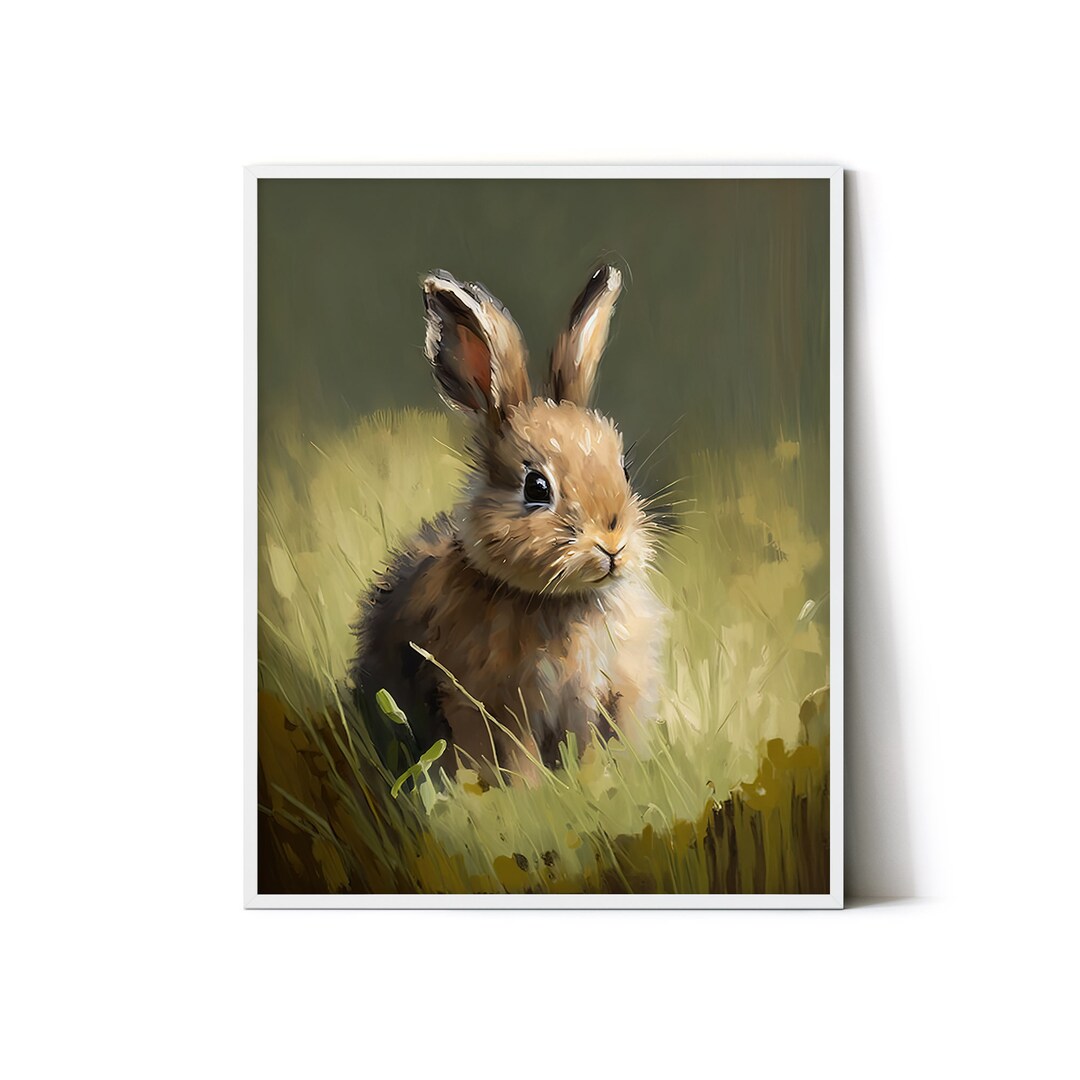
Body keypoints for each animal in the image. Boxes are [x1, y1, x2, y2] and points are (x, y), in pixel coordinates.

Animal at [350, 265, 668, 783]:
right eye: (536, 487)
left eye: (623, 470)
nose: (612, 545)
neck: (559, 602)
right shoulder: (498, 706)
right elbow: (519, 759)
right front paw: (531, 794)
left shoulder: (599, 699)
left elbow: (590, 750)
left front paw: (594, 787)